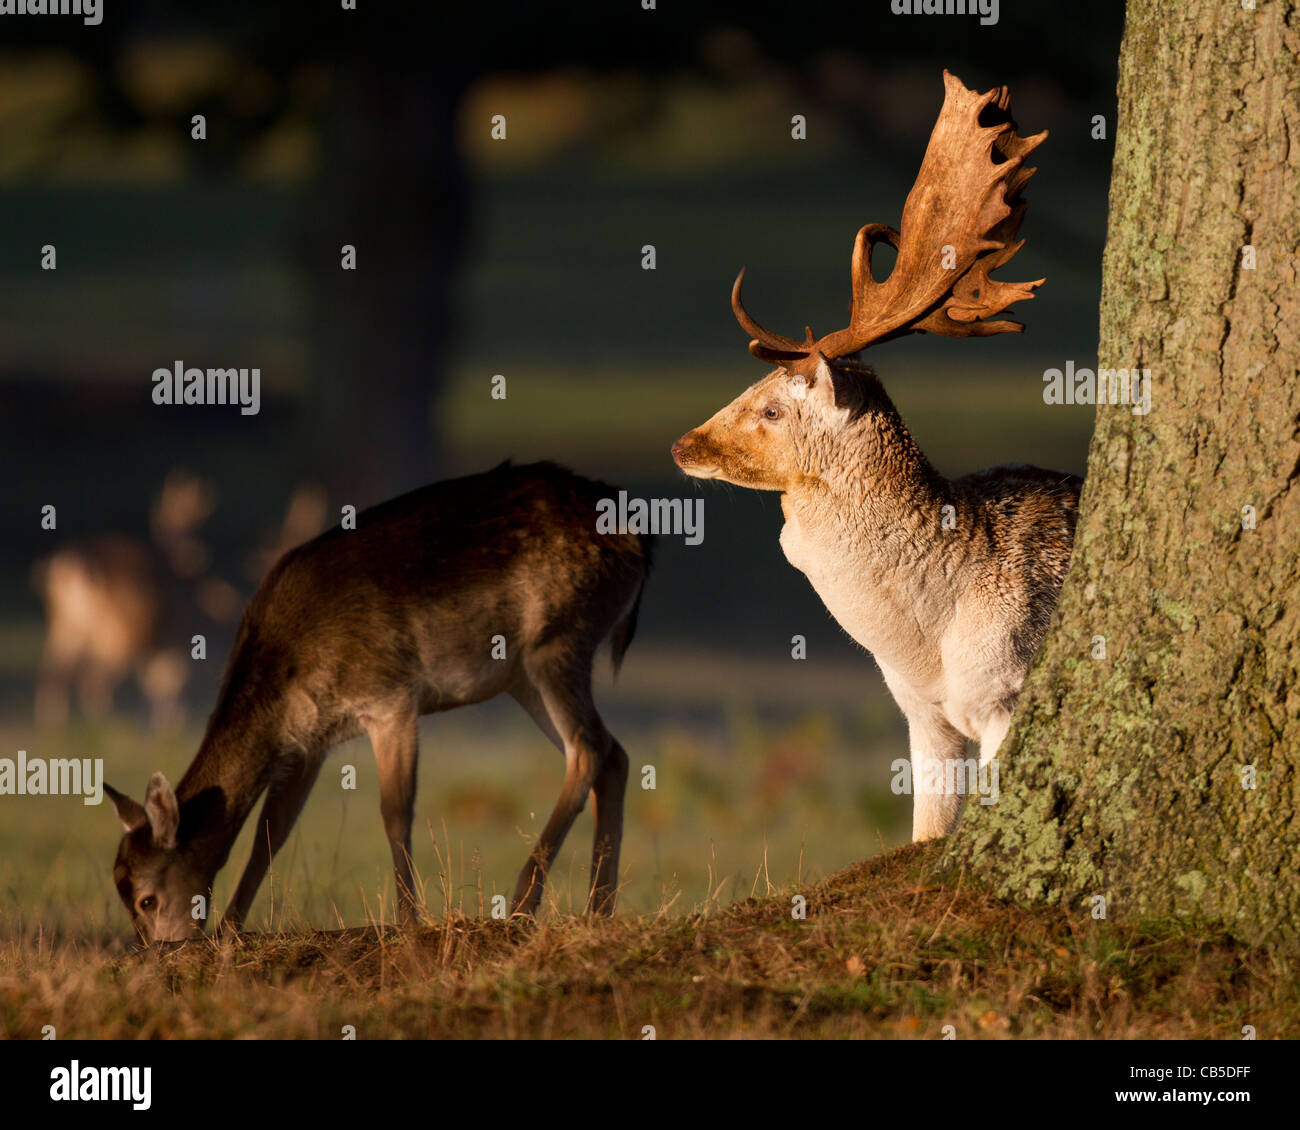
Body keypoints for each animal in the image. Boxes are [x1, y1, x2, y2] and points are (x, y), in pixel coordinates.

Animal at [103, 461, 652, 942]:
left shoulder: (390, 697)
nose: (158, 948)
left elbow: (394, 811)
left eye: (148, 898)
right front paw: (229, 930)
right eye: (123, 894)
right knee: (616, 753)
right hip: (522, 677)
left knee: (588, 748)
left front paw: (410, 921)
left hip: (558, 639)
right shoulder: (308, 743)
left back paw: (521, 904)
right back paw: (598, 908)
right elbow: (270, 834)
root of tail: (642, 542)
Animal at [672, 71, 1081, 842]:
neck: (930, 645)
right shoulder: (924, 717)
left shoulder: (1008, 693)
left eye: (773, 409)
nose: (684, 445)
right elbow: (925, 834)